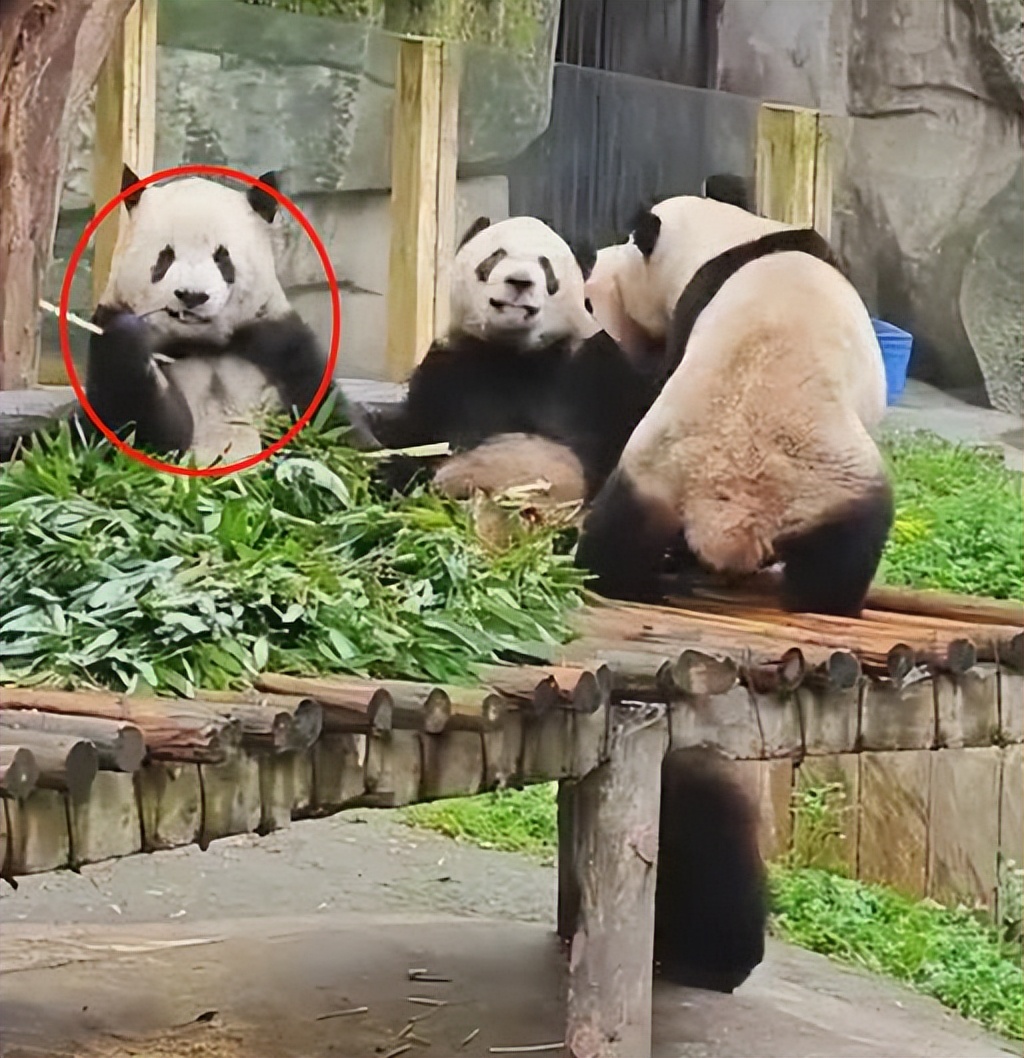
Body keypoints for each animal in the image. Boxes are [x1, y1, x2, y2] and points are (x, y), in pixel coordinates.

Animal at [81, 165, 354, 465]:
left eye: (222, 258)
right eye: (165, 257)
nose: (193, 295)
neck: (201, 343)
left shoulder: (274, 344)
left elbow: (326, 415)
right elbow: (146, 430)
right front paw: (128, 333)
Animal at [358, 215, 658, 507]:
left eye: (546, 266)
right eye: (495, 257)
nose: (520, 281)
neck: (511, 353)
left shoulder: (595, 373)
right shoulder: (449, 367)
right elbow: (418, 425)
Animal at [575, 194, 893, 618]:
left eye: (626, 244)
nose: (601, 257)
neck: (729, 233)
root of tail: (732, 518)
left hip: (654, 482)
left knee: (614, 547)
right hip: (824, 491)